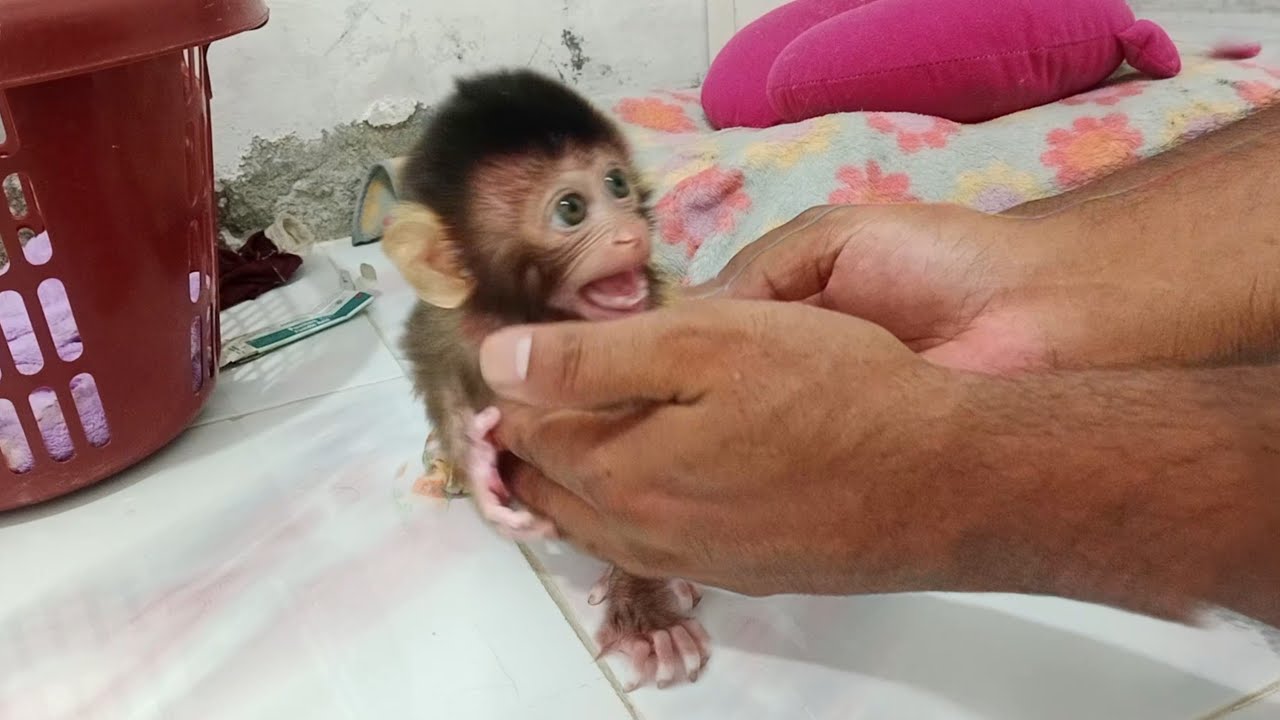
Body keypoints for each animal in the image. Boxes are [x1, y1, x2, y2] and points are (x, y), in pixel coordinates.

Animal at [382, 69, 711, 690]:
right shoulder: (457, 322)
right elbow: (437, 363)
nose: (630, 233)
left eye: (616, 183)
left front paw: (645, 610)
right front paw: (478, 466)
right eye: (571, 210)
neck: (544, 320)